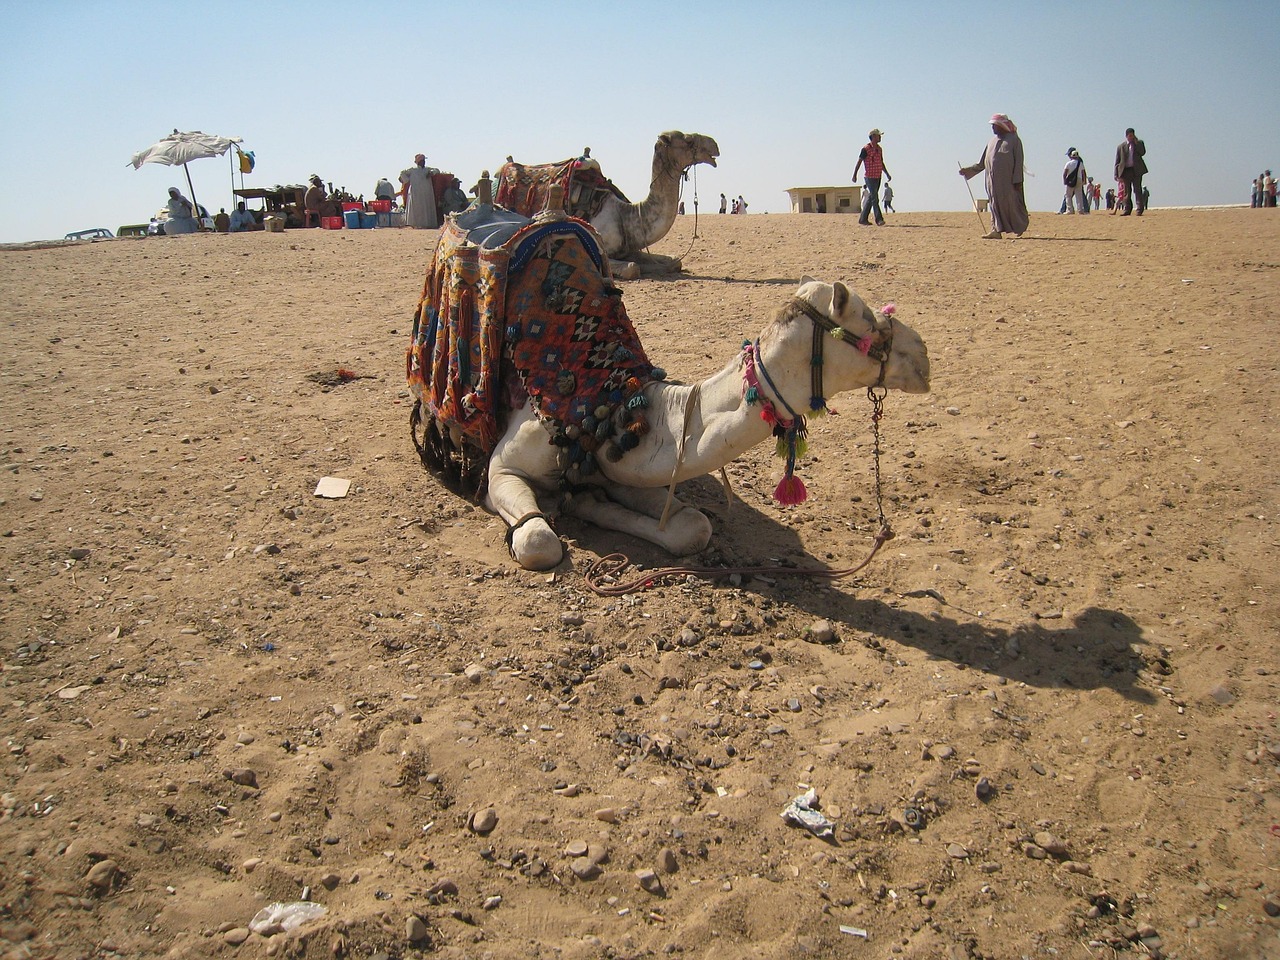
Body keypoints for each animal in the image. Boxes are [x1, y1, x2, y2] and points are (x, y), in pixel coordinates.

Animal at [495, 131, 719, 278]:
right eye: (688, 140)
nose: (714, 146)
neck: (627, 216)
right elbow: (632, 268)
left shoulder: (630, 249)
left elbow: (674, 261)